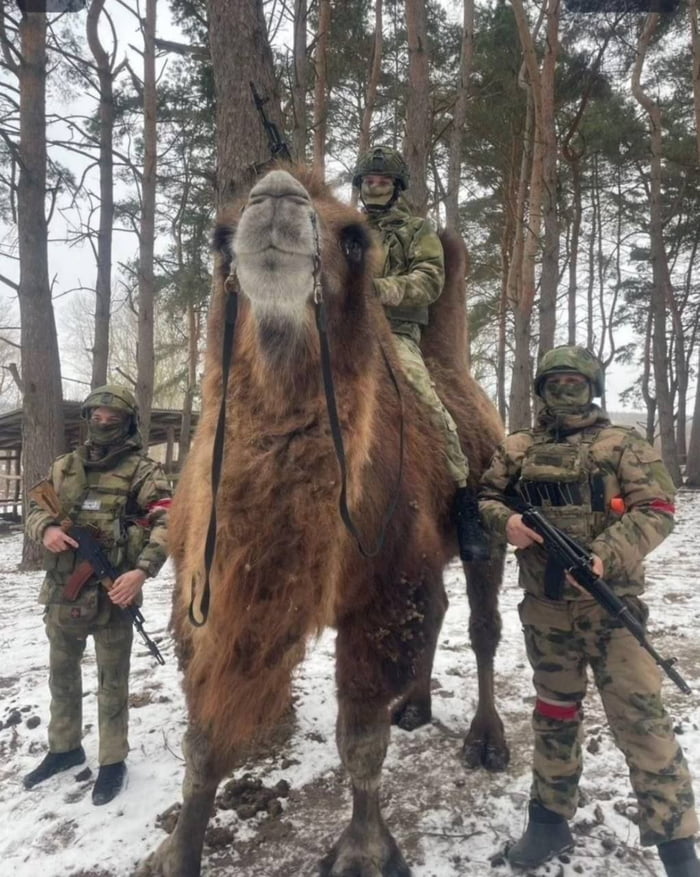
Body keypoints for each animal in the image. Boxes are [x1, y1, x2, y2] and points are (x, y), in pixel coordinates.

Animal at [138, 166, 508, 877]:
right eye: (220, 237)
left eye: (355, 240)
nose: (276, 193)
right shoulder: (207, 596)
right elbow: (204, 738)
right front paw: (176, 851)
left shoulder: (378, 596)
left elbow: (360, 737)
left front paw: (364, 850)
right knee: (440, 609)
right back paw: (415, 706)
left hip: (495, 525)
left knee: (482, 626)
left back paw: (486, 740)